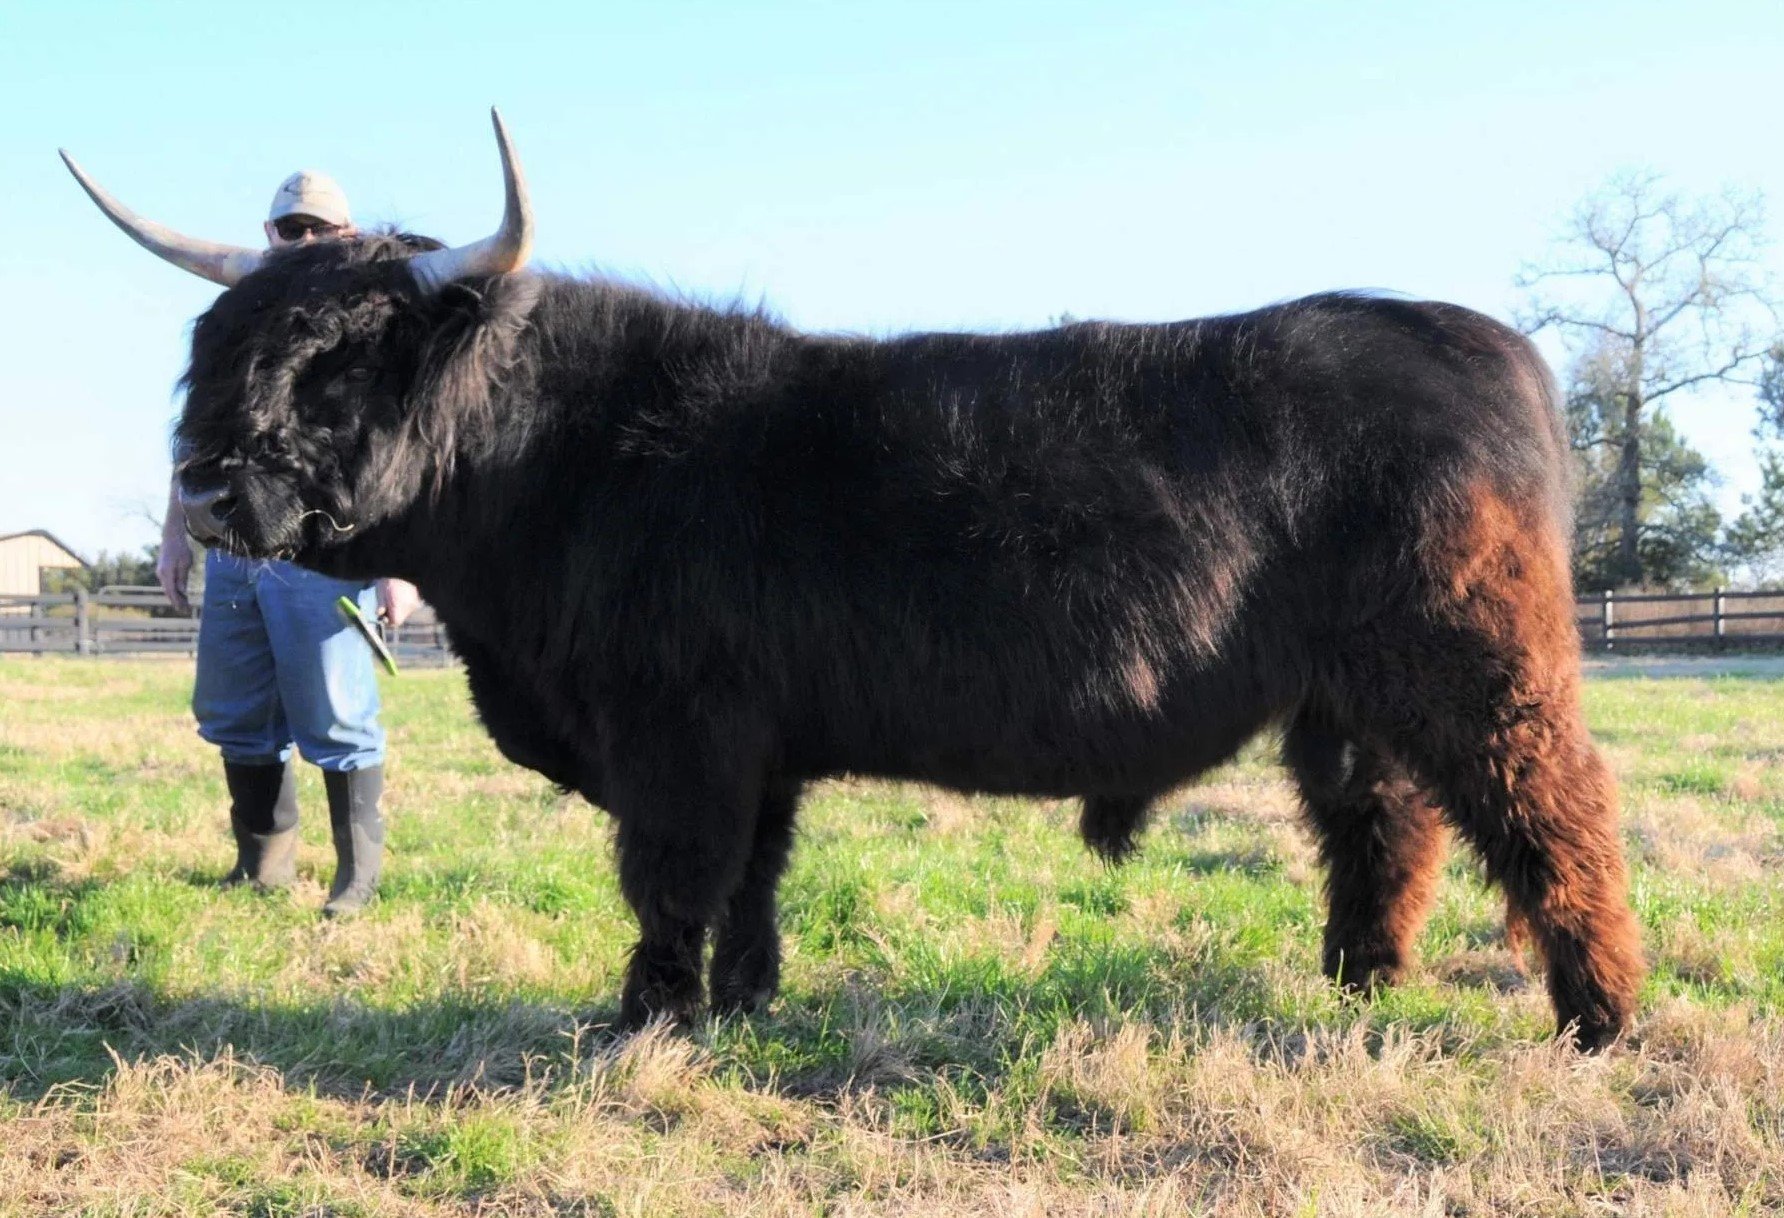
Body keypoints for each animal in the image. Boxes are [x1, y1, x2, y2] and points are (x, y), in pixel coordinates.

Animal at [64, 111, 1645, 1049]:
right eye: (219, 343)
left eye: (341, 355)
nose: (204, 485)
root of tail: (1468, 333)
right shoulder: (753, 742)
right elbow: (751, 879)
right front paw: (745, 1006)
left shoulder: (675, 733)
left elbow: (670, 876)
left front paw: (642, 1020)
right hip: (1349, 700)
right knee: (1384, 829)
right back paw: (1358, 984)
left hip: (1474, 665)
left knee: (1550, 813)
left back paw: (1601, 1014)